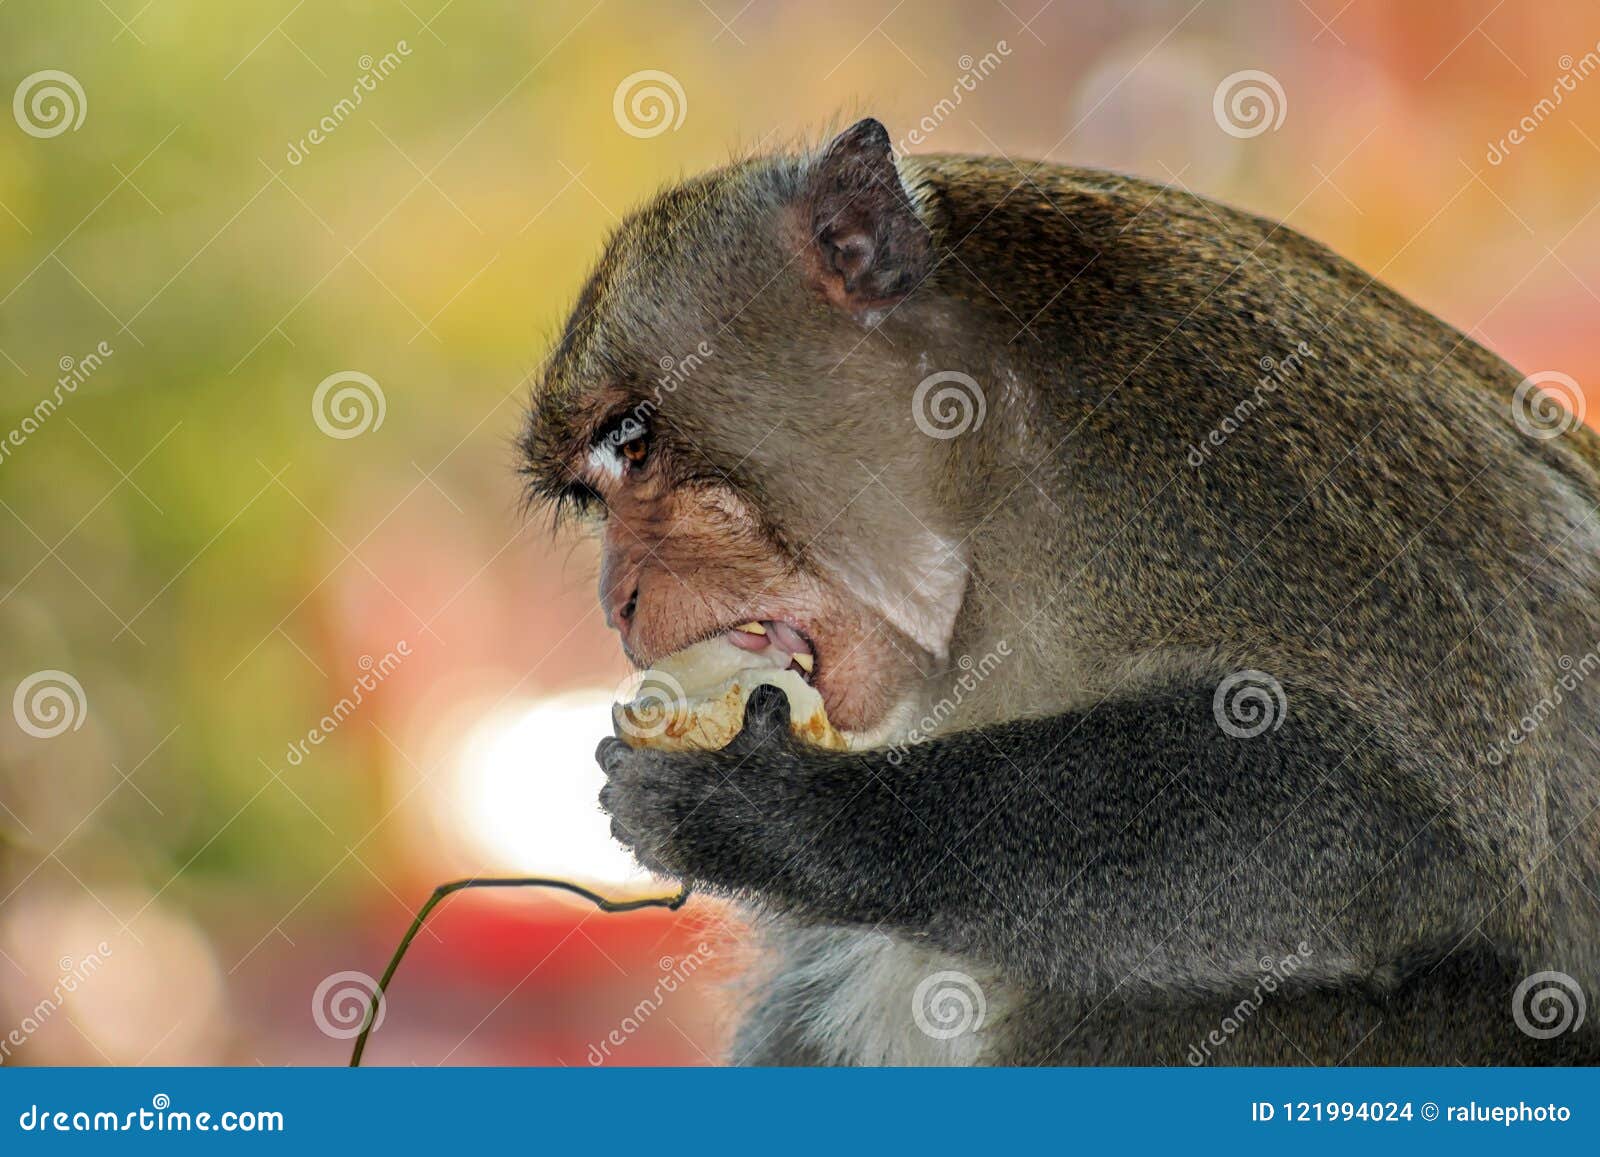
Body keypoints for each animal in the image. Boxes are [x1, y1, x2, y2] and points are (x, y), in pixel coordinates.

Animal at [518, 117, 1600, 1065]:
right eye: (596, 493)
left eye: (634, 442)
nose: (618, 596)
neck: (993, 457)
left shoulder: (1221, 468)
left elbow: (1386, 815)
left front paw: (793, 814)